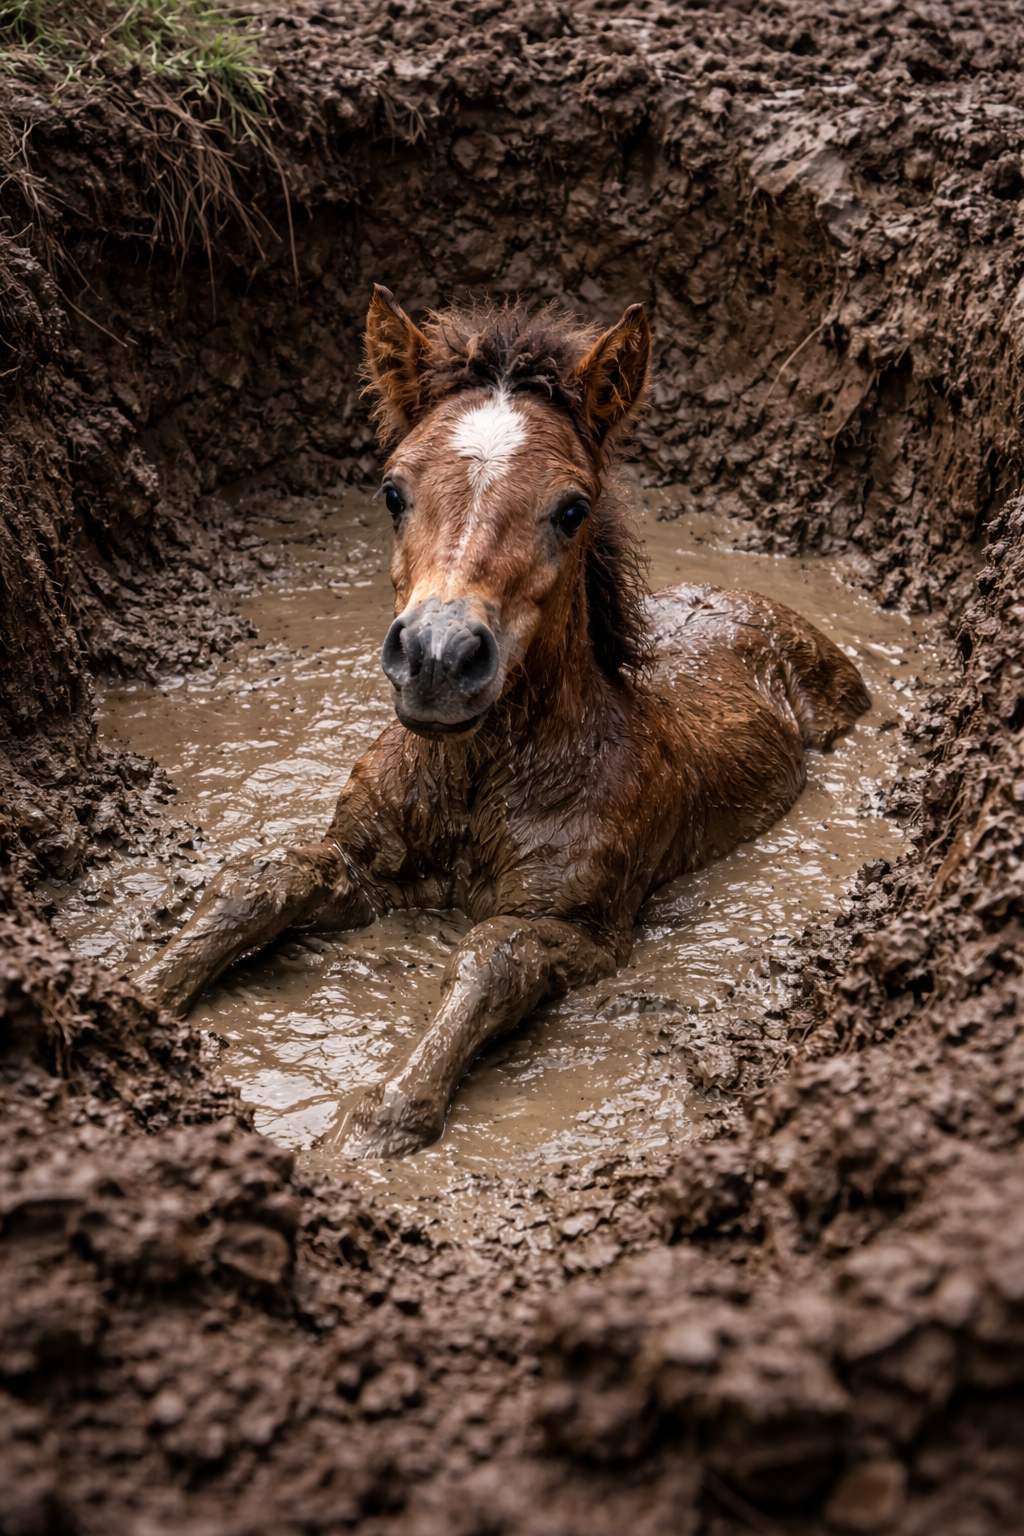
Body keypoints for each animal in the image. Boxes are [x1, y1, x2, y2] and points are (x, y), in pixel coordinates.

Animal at [134, 288, 870, 1158]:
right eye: (392, 491)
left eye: (572, 507)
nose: (437, 658)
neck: (472, 777)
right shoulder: (364, 866)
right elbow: (261, 878)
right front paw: (129, 997)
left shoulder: (579, 930)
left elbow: (493, 956)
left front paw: (377, 1124)